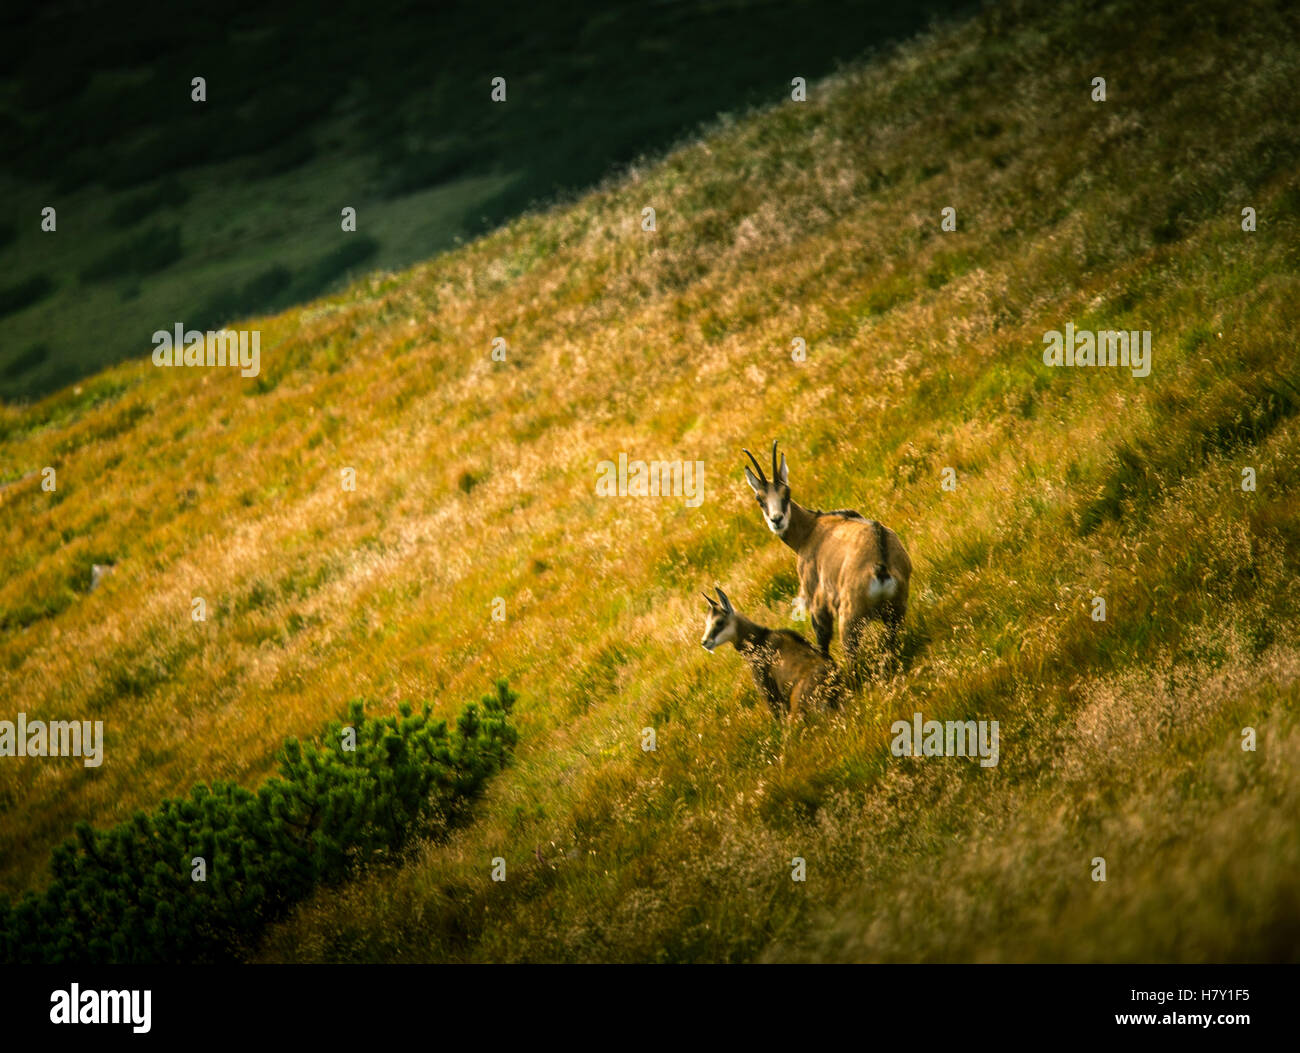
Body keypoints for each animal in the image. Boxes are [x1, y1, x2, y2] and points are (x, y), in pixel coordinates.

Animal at [742, 440, 911, 673]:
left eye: (786, 493)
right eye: (760, 499)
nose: (777, 520)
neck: (811, 530)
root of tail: (882, 565)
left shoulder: (817, 603)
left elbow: (821, 642)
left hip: (849, 619)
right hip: (896, 611)